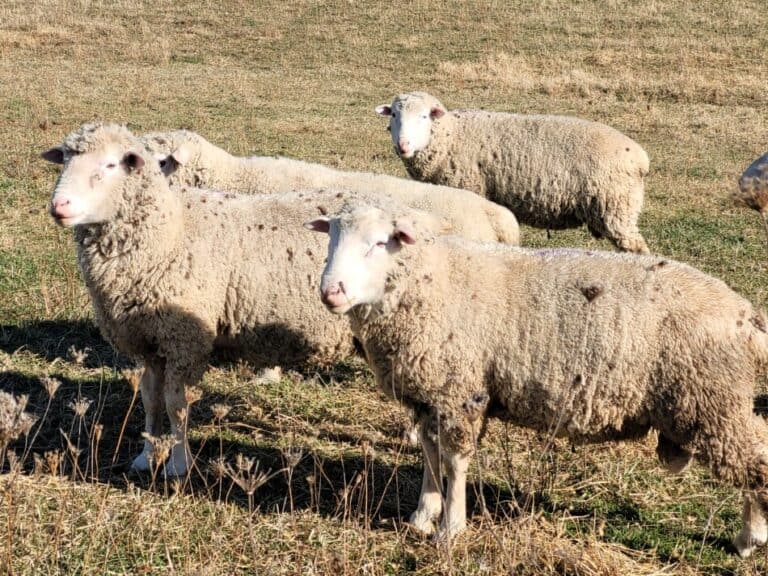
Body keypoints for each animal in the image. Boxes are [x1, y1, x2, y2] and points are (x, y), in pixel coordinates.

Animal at [41, 122, 466, 477]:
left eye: (111, 164)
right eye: (65, 159)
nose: (59, 207)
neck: (170, 231)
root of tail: (423, 221)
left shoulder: (184, 339)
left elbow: (177, 403)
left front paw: (177, 465)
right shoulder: (149, 341)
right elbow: (150, 400)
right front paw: (146, 457)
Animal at [307, 202, 768, 557]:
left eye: (377, 244)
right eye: (330, 240)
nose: (331, 292)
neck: (433, 280)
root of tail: (745, 314)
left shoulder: (461, 392)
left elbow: (454, 462)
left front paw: (450, 530)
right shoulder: (431, 395)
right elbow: (430, 456)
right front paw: (422, 516)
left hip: (712, 402)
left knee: (757, 459)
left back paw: (750, 538)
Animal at [375, 91, 651, 254]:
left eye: (424, 116)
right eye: (395, 114)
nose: (403, 146)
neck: (451, 136)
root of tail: (640, 158)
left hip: (616, 207)